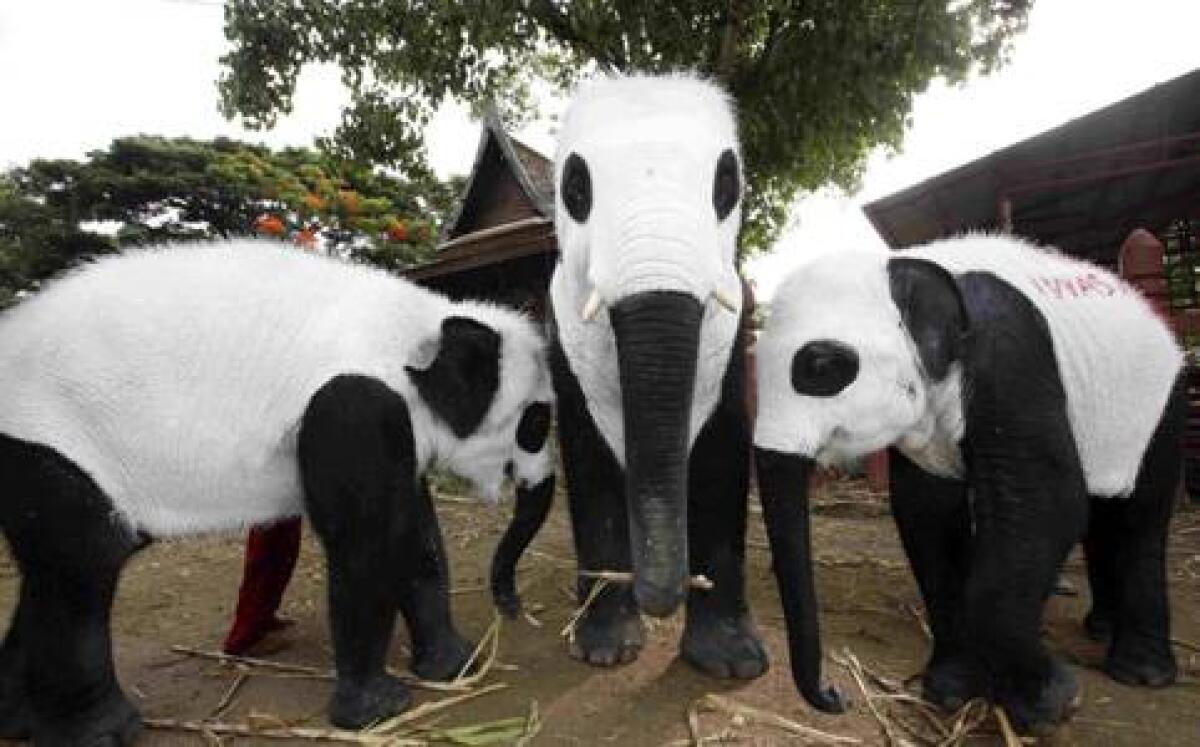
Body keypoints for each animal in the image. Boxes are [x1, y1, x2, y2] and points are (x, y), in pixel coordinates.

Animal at [0, 240, 555, 744]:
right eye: (536, 423)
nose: (513, 607)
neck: (422, 321)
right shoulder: (351, 403)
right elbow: (365, 539)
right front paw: (378, 709)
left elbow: (413, 528)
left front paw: (458, 665)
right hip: (55, 438)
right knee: (83, 563)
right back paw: (103, 731)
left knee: (64, 566)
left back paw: (22, 721)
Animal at [752, 234, 1184, 733]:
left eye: (821, 368)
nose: (836, 695)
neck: (901, 267)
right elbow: (928, 514)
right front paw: (953, 689)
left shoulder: (1010, 351)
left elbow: (1045, 504)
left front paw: (1046, 703)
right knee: (1103, 516)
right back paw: (1101, 627)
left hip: (1156, 406)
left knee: (1140, 518)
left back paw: (1141, 671)